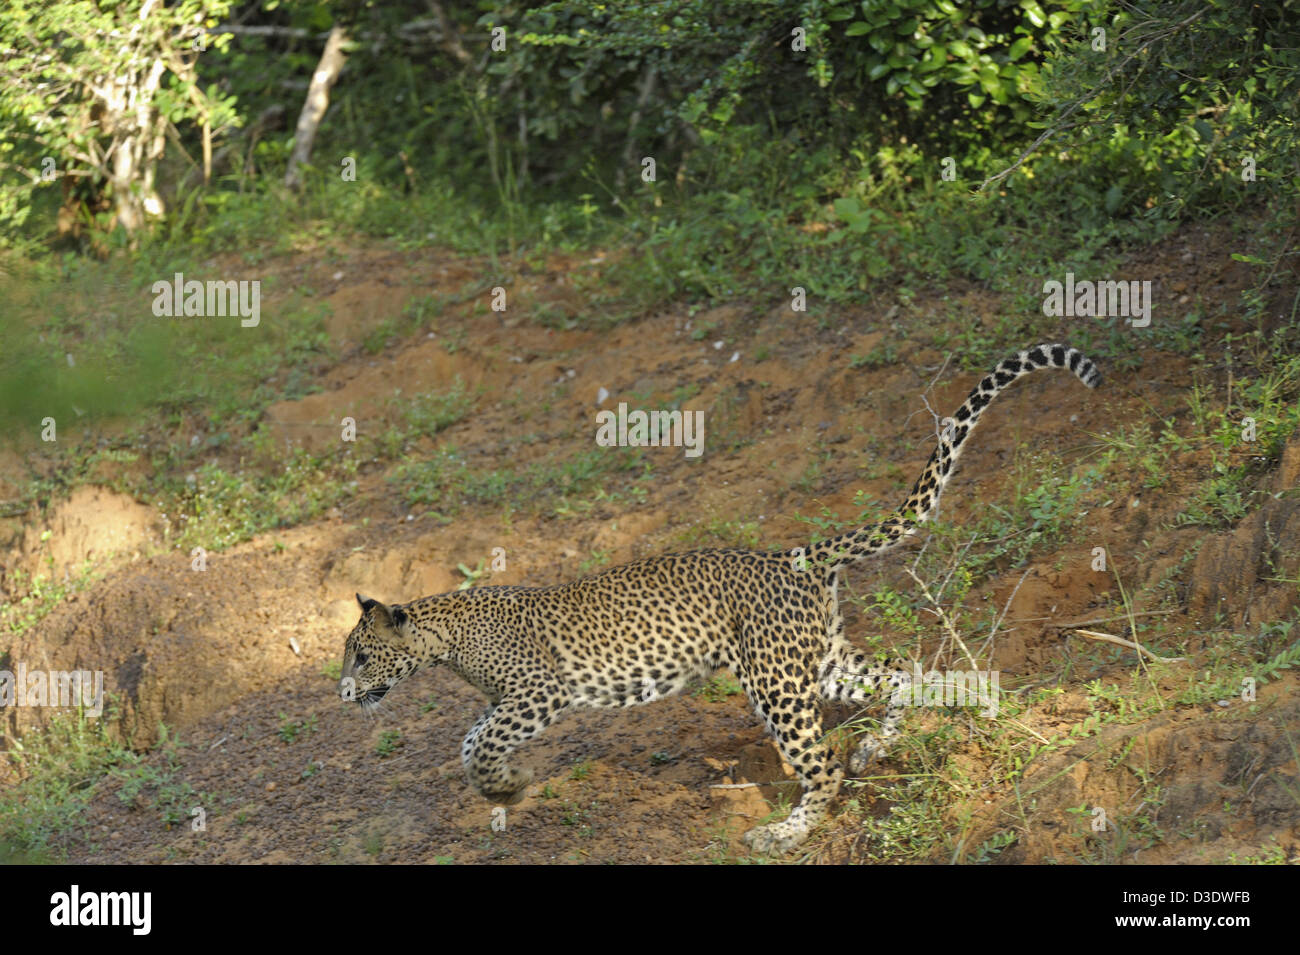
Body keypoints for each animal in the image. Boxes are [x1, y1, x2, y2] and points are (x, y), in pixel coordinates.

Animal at [338, 343, 1101, 855]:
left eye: (361, 656)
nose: (343, 694)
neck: (444, 636)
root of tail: (795, 554)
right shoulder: (512, 698)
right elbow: (471, 739)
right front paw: (508, 786)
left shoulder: (537, 691)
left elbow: (479, 743)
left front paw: (509, 781)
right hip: (814, 661)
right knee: (902, 676)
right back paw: (888, 742)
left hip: (775, 680)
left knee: (821, 763)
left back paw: (785, 833)